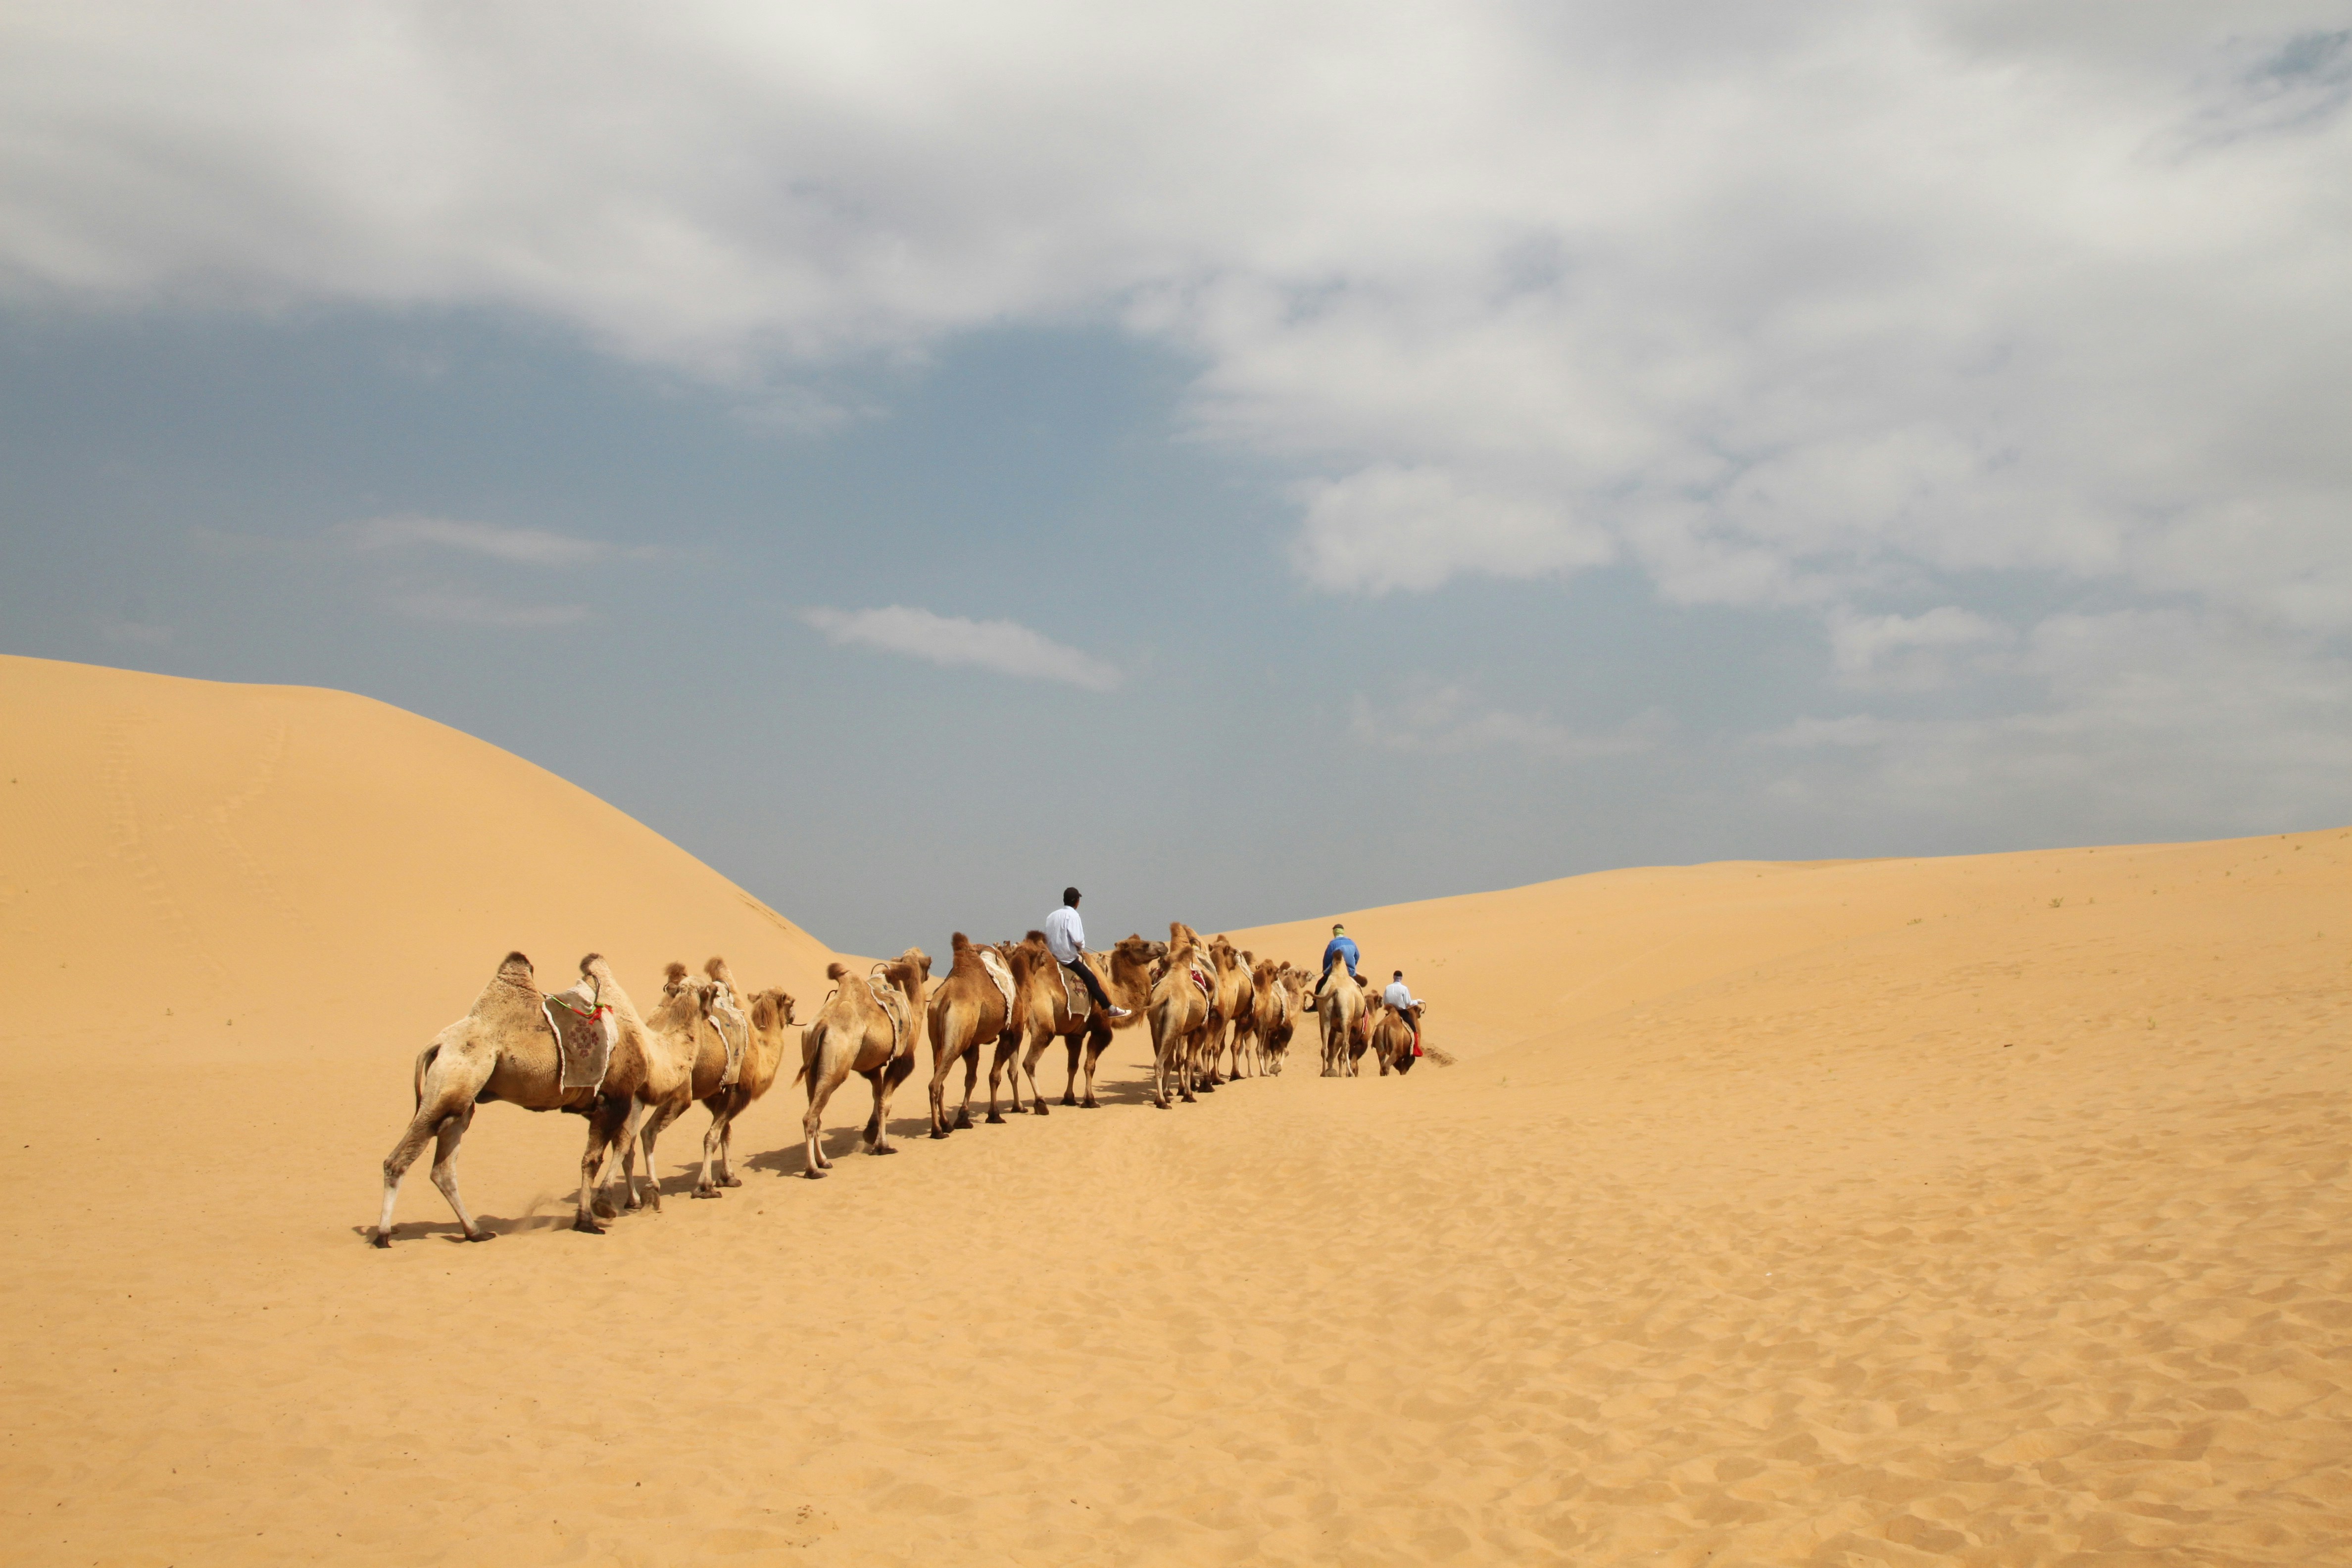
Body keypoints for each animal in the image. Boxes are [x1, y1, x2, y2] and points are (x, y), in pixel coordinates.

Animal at [375, 951, 699, 1245]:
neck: (652, 1051)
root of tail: (438, 1043)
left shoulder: (604, 1105)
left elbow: (615, 1149)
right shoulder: (615, 1099)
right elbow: (596, 1158)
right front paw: (591, 1217)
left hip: (462, 1104)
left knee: (443, 1169)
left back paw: (476, 1232)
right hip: (450, 1088)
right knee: (398, 1161)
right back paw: (383, 1235)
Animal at [797, 948, 929, 1177]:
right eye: (926, 963)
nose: (929, 973)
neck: (915, 1014)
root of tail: (821, 1024)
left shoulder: (873, 1067)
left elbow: (877, 1097)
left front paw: (871, 1134)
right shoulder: (901, 1060)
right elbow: (886, 1103)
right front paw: (883, 1146)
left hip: (810, 1067)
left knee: (817, 1113)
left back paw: (824, 1161)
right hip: (836, 1066)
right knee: (810, 1117)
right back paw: (813, 1169)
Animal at [925, 933, 1020, 1137]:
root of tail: (944, 1000)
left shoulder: (973, 1043)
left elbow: (971, 1079)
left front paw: (964, 1118)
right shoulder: (1011, 1032)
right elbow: (995, 1075)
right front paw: (995, 1115)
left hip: (938, 1037)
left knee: (941, 1080)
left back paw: (946, 1124)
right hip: (957, 1037)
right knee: (935, 1084)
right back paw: (938, 1130)